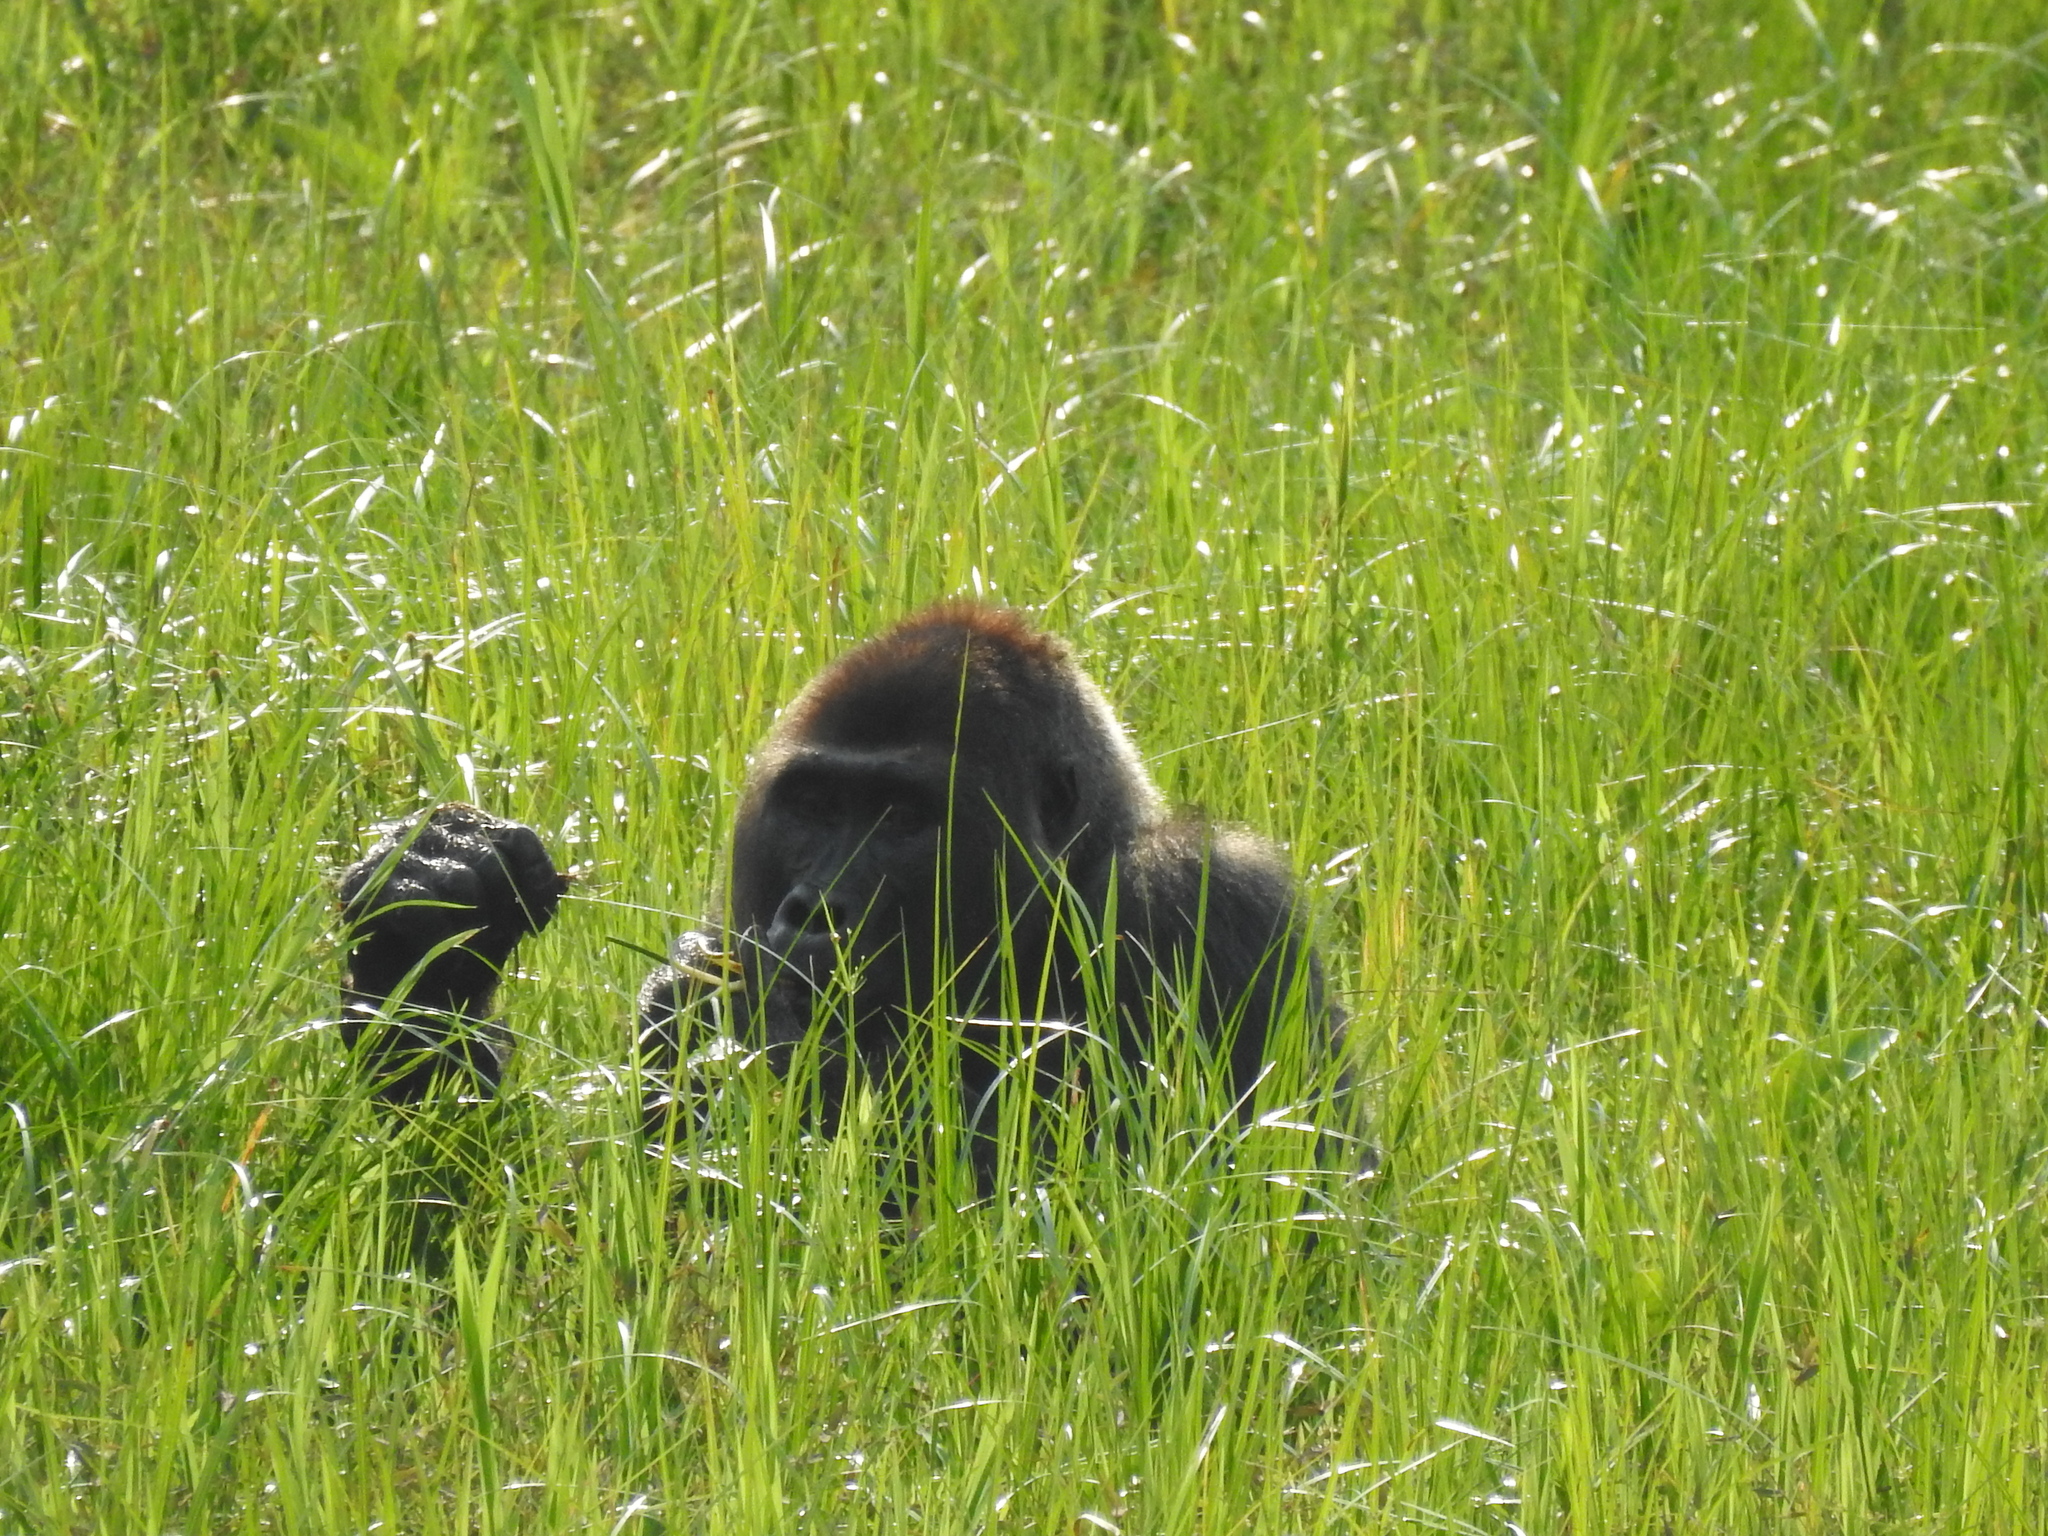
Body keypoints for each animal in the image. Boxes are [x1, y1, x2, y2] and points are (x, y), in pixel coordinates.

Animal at [337, 604, 1343, 1165]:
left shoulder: (1205, 904)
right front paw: (424, 937)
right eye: (817, 805)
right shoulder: (700, 965)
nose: (813, 912)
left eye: (901, 819)